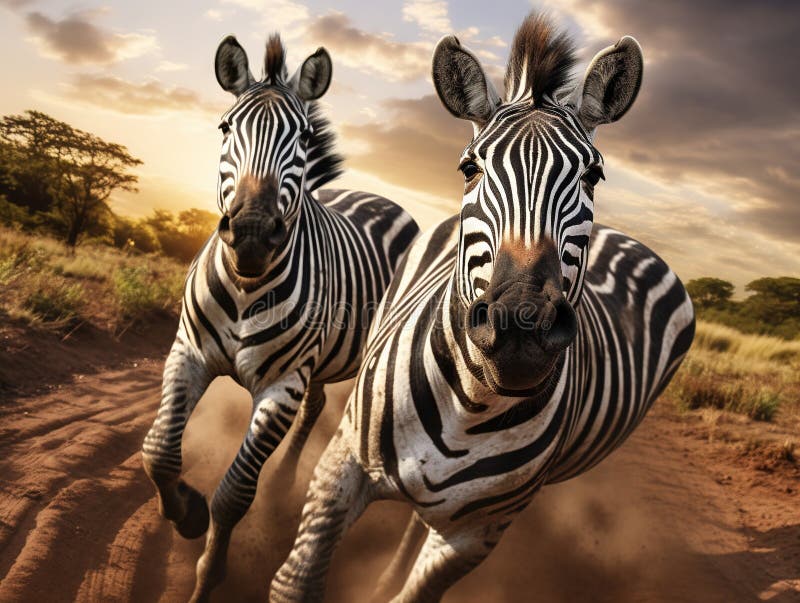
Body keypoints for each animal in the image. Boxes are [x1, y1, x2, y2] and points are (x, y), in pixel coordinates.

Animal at [140, 34, 419, 602]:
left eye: (305, 137)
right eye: (226, 127)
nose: (251, 232)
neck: (247, 286)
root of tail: (384, 198)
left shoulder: (281, 386)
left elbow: (234, 494)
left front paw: (209, 569)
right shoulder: (188, 353)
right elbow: (158, 451)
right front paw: (184, 512)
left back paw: (282, 485)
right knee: (316, 405)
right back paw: (284, 481)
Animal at [270, 13, 695, 603]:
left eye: (593, 176)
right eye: (469, 168)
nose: (521, 329)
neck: (469, 406)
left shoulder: (476, 536)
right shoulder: (343, 464)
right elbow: (295, 582)